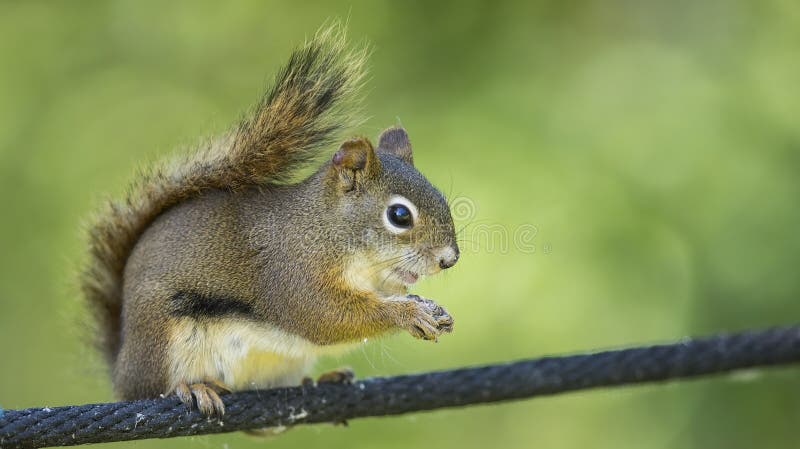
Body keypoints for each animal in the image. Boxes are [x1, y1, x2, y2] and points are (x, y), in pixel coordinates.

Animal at [80, 26, 459, 416]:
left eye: (441, 197)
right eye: (399, 215)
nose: (449, 259)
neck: (326, 230)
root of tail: (122, 371)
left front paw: (433, 310)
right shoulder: (294, 273)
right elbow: (326, 317)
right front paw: (409, 313)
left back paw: (320, 381)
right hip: (163, 341)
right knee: (159, 388)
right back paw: (193, 387)